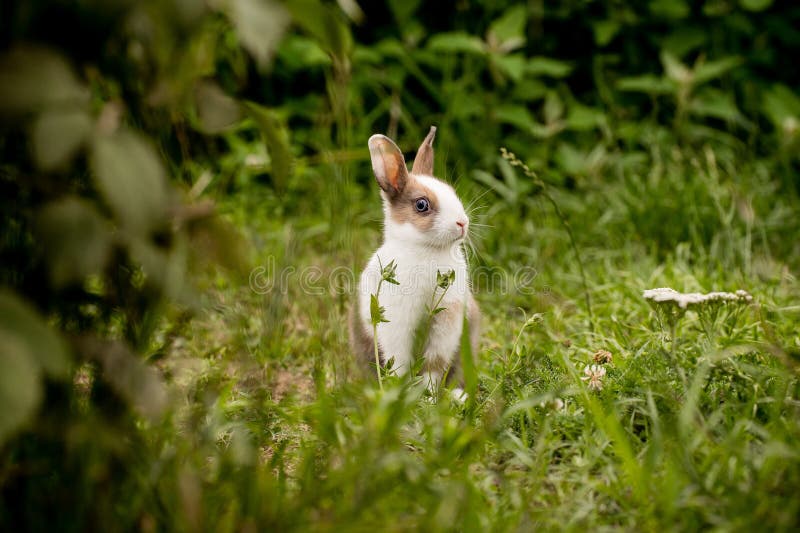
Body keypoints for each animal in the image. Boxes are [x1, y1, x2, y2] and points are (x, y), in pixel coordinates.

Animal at [349, 126, 480, 400]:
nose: (462, 223)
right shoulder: (396, 325)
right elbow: (399, 364)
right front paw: (402, 397)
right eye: (422, 205)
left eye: (453, 193)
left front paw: (428, 397)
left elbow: (433, 366)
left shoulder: (447, 326)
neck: (428, 250)